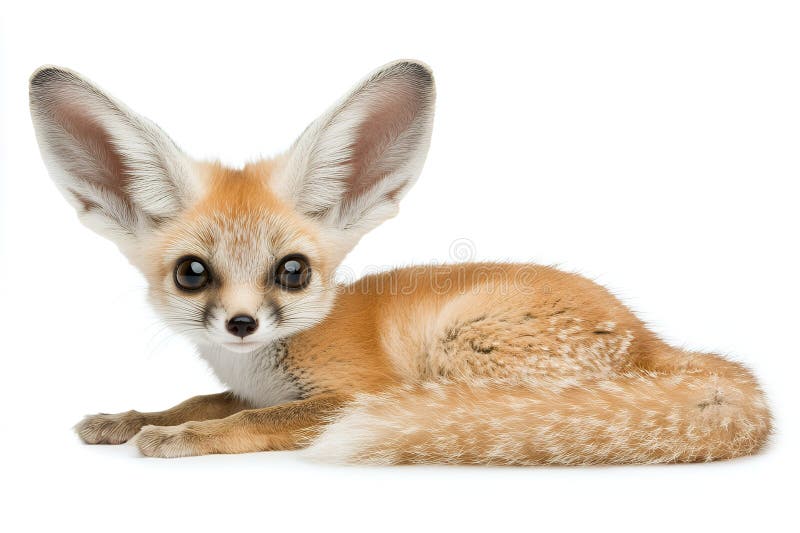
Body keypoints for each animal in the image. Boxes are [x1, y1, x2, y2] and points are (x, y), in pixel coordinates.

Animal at [29, 60, 771, 464]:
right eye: (192, 273)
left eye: (292, 271)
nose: (241, 324)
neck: (258, 367)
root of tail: (654, 342)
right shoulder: (244, 384)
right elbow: (197, 398)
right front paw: (131, 418)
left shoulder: (350, 392)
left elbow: (245, 421)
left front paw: (181, 436)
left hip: (464, 344)